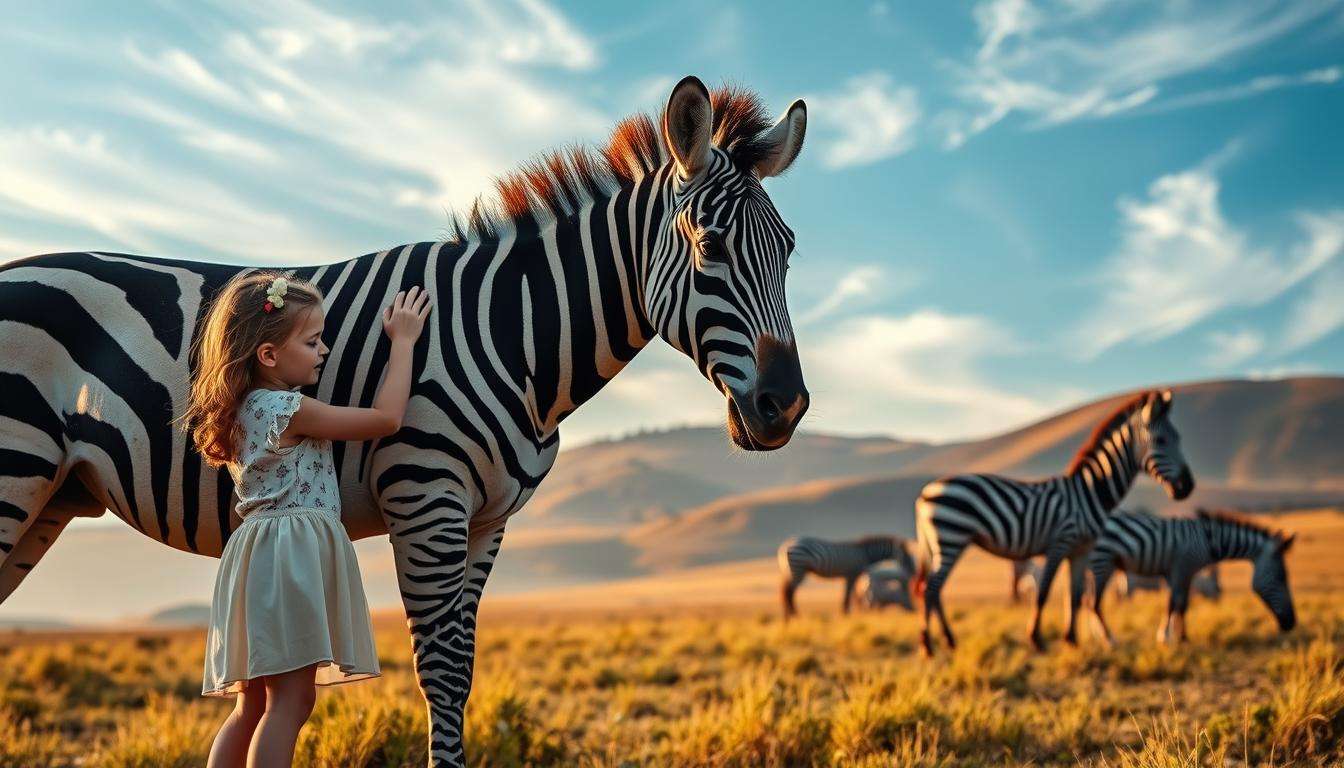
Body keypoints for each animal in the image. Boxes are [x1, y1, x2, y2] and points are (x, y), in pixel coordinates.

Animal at [0, 76, 811, 766]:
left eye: (790, 252)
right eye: (709, 245)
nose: (787, 406)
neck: (514, 334)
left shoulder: (488, 519)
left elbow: (465, 665)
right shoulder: (426, 494)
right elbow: (442, 670)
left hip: (50, 496)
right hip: (17, 465)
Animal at [778, 535, 914, 618]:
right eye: (907, 557)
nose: (914, 573)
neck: (864, 553)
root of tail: (785, 545)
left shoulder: (853, 576)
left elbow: (855, 596)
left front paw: (857, 614)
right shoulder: (852, 574)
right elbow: (849, 596)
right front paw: (846, 614)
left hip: (789, 570)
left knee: (785, 592)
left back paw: (788, 616)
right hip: (798, 569)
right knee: (789, 593)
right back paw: (795, 615)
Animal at [914, 389, 1195, 655]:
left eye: (1179, 438)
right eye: (1161, 440)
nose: (1188, 487)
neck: (1090, 492)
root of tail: (925, 493)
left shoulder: (1081, 550)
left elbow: (1075, 596)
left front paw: (1072, 641)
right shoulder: (1059, 543)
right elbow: (1043, 593)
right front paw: (1036, 640)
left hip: (944, 543)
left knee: (935, 591)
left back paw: (949, 640)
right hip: (951, 538)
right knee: (930, 589)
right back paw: (928, 645)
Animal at [1089, 508, 1296, 644]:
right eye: (1281, 577)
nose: (1291, 623)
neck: (1209, 541)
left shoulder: (1186, 572)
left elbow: (1183, 604)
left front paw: (1183, 637)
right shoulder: (1181, 567)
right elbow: (1173, 604)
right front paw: (1165, 636)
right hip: (1102, 561)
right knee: (1095, 602)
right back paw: (1108, 639)